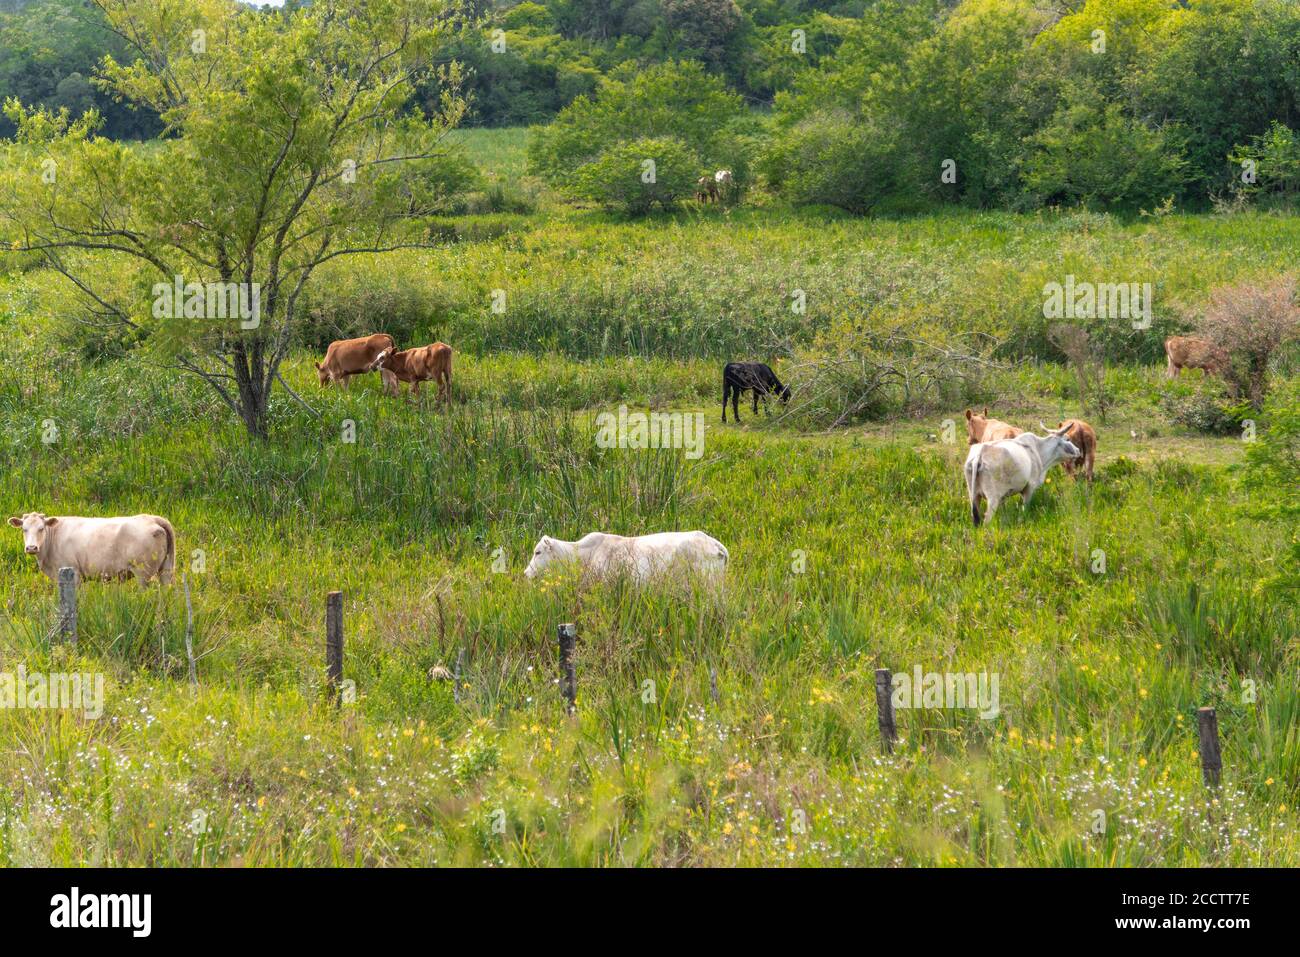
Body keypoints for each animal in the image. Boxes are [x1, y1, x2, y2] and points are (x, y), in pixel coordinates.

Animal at [7, 513, 176, 585]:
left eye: (41, 528)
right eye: (24, 529)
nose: (31, 547)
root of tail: (152, 518)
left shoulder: (73, 573)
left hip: (143, 572)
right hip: (166, 569)